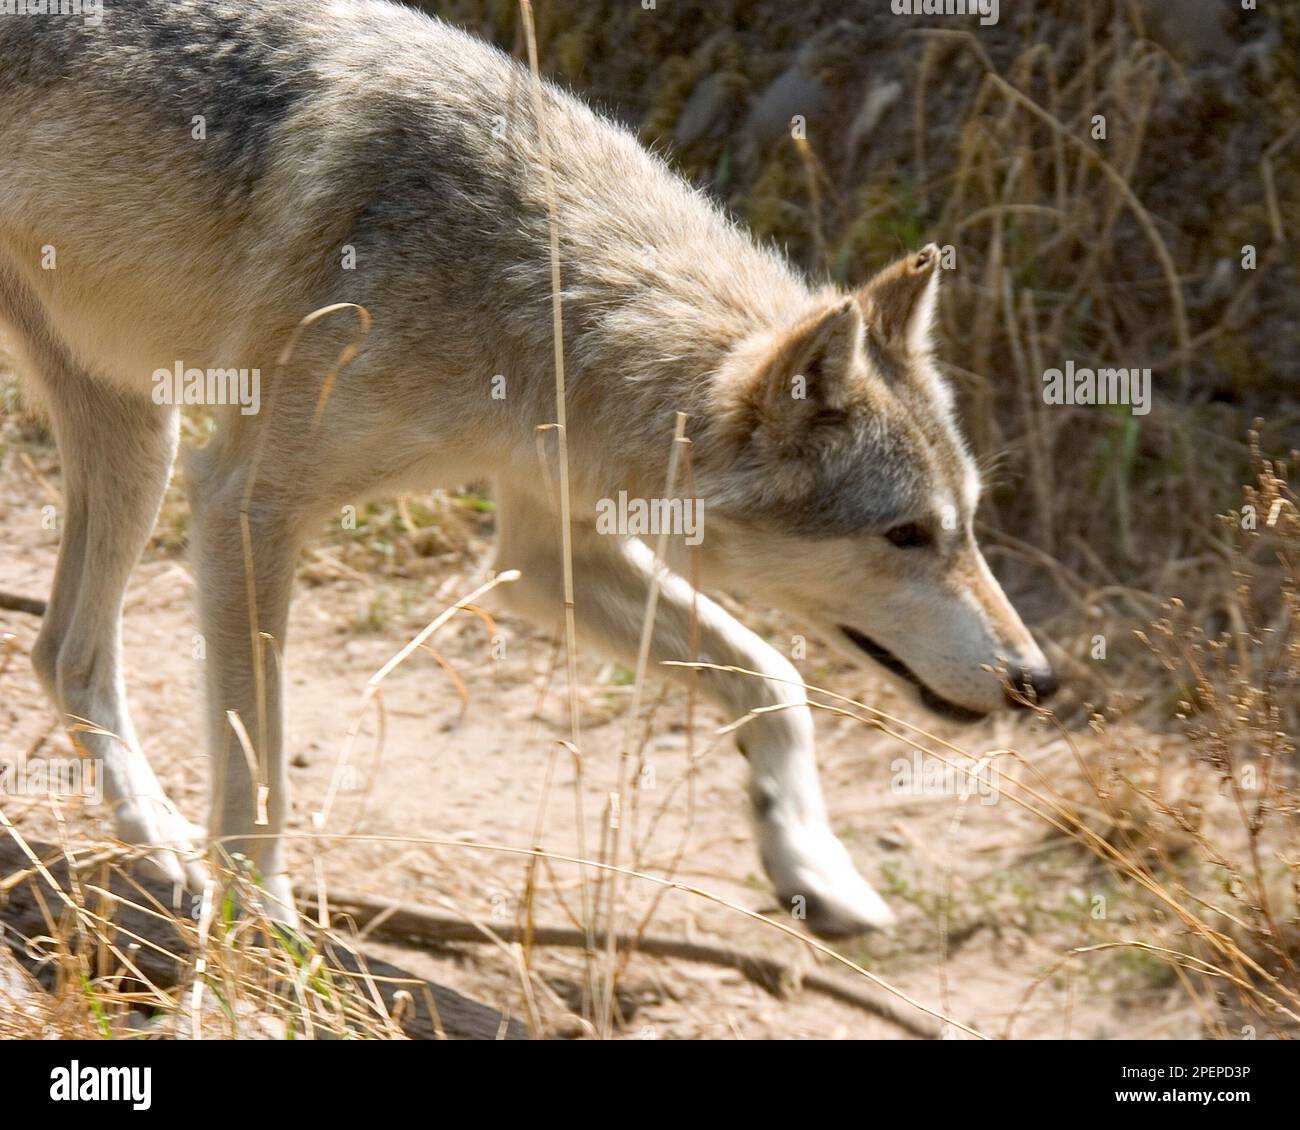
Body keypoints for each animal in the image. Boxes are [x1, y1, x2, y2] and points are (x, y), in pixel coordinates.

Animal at [0, 0, 1056, 938]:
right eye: (905, 534)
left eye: (967, 523)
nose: (1039, 680)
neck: (526, 285)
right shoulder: (244, 508)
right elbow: (258, 757)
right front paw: (263, 925)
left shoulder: (547, 555)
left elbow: (774, 681)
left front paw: (812, 866)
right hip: (162, 456)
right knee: (74, 652)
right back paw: (174, 854)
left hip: (143, 437)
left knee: (60, 653)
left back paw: (159, 844)